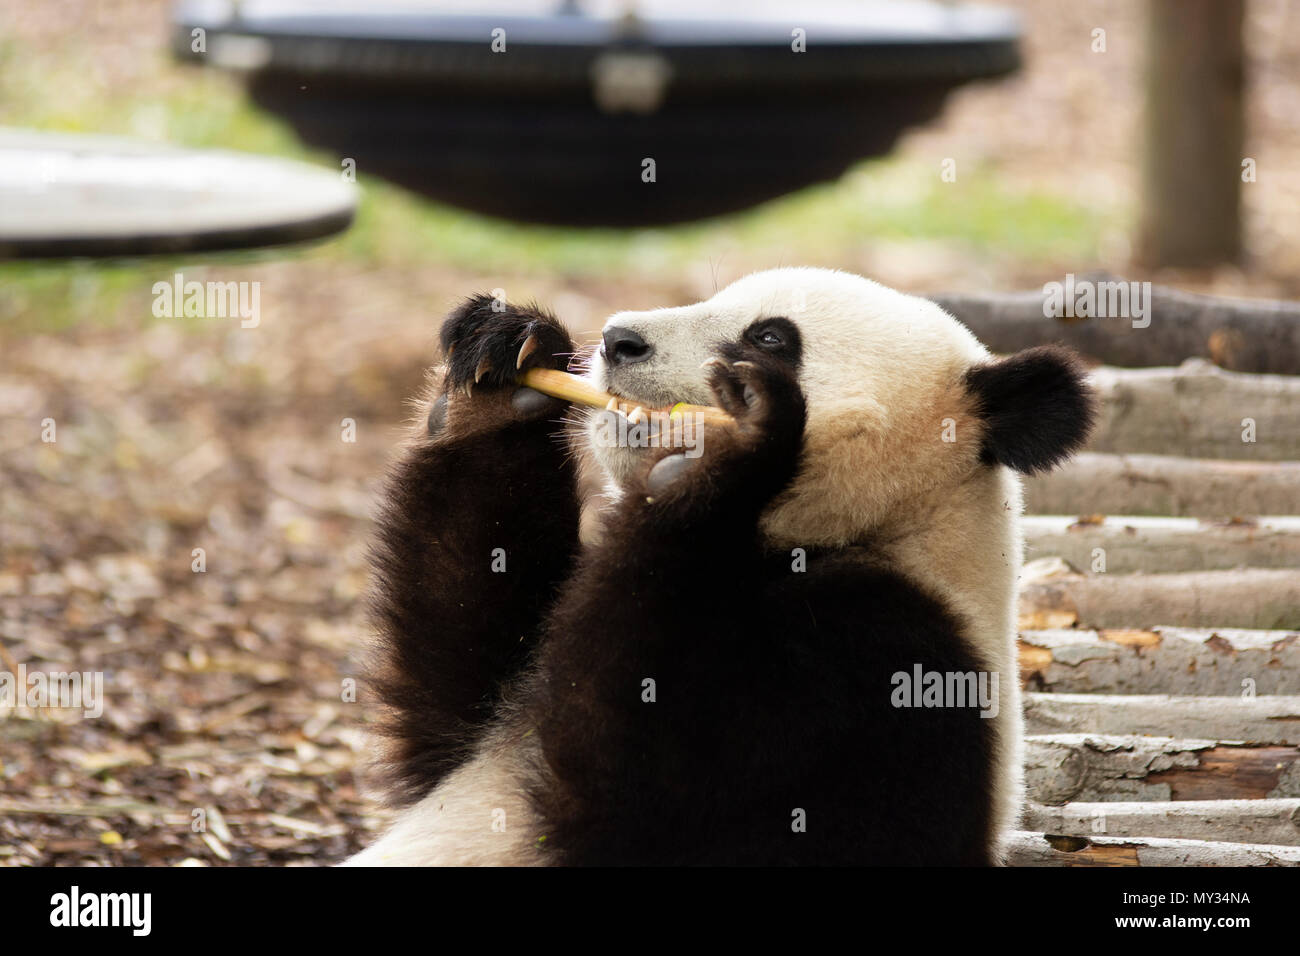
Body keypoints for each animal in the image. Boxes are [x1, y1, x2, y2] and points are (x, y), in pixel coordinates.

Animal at [345, 267, 1095, 866]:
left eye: (770, 337)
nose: (618, 339)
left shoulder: (877, 664)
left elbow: (623, 791)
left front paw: (726, 448)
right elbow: (451, 680)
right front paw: (506, 359)